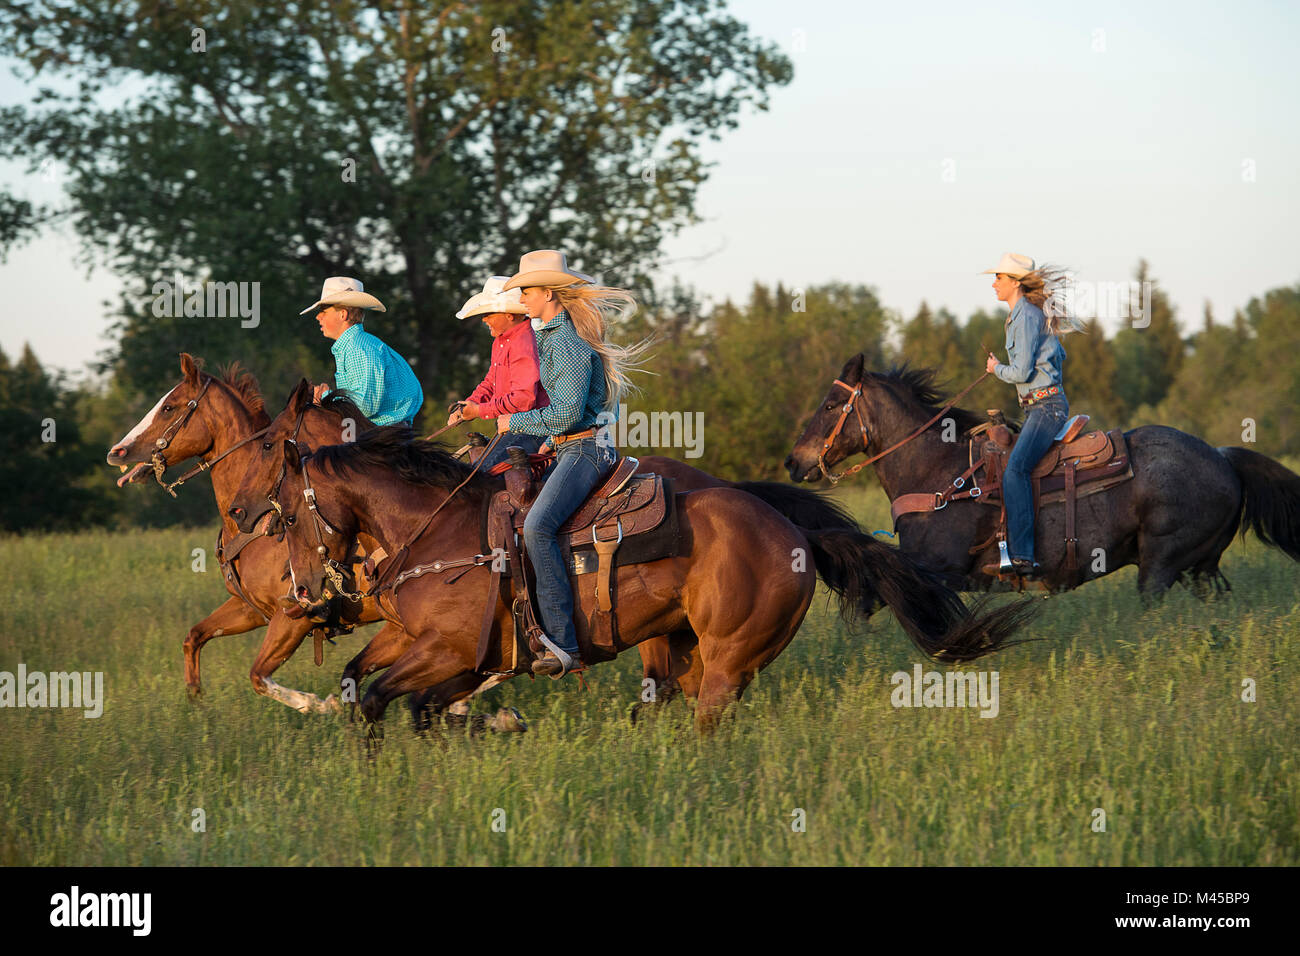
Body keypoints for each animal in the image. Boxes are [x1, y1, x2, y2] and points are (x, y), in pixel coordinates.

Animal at [227, 381, 1037, 734]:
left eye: (288, 509)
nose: (303, 590)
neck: (435, 530)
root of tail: (790, 532)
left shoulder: (448, 650)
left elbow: (400, 700)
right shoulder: (411, 639)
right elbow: (361, 686)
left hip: (729, 659)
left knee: (707, 723)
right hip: (674, 646)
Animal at [784, 355, 1300, 596]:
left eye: (831, 404)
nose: (793, 461)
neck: (941, 475)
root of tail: (1223, 457)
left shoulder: (943, 570)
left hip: (1161, 565)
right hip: (1199, 569)